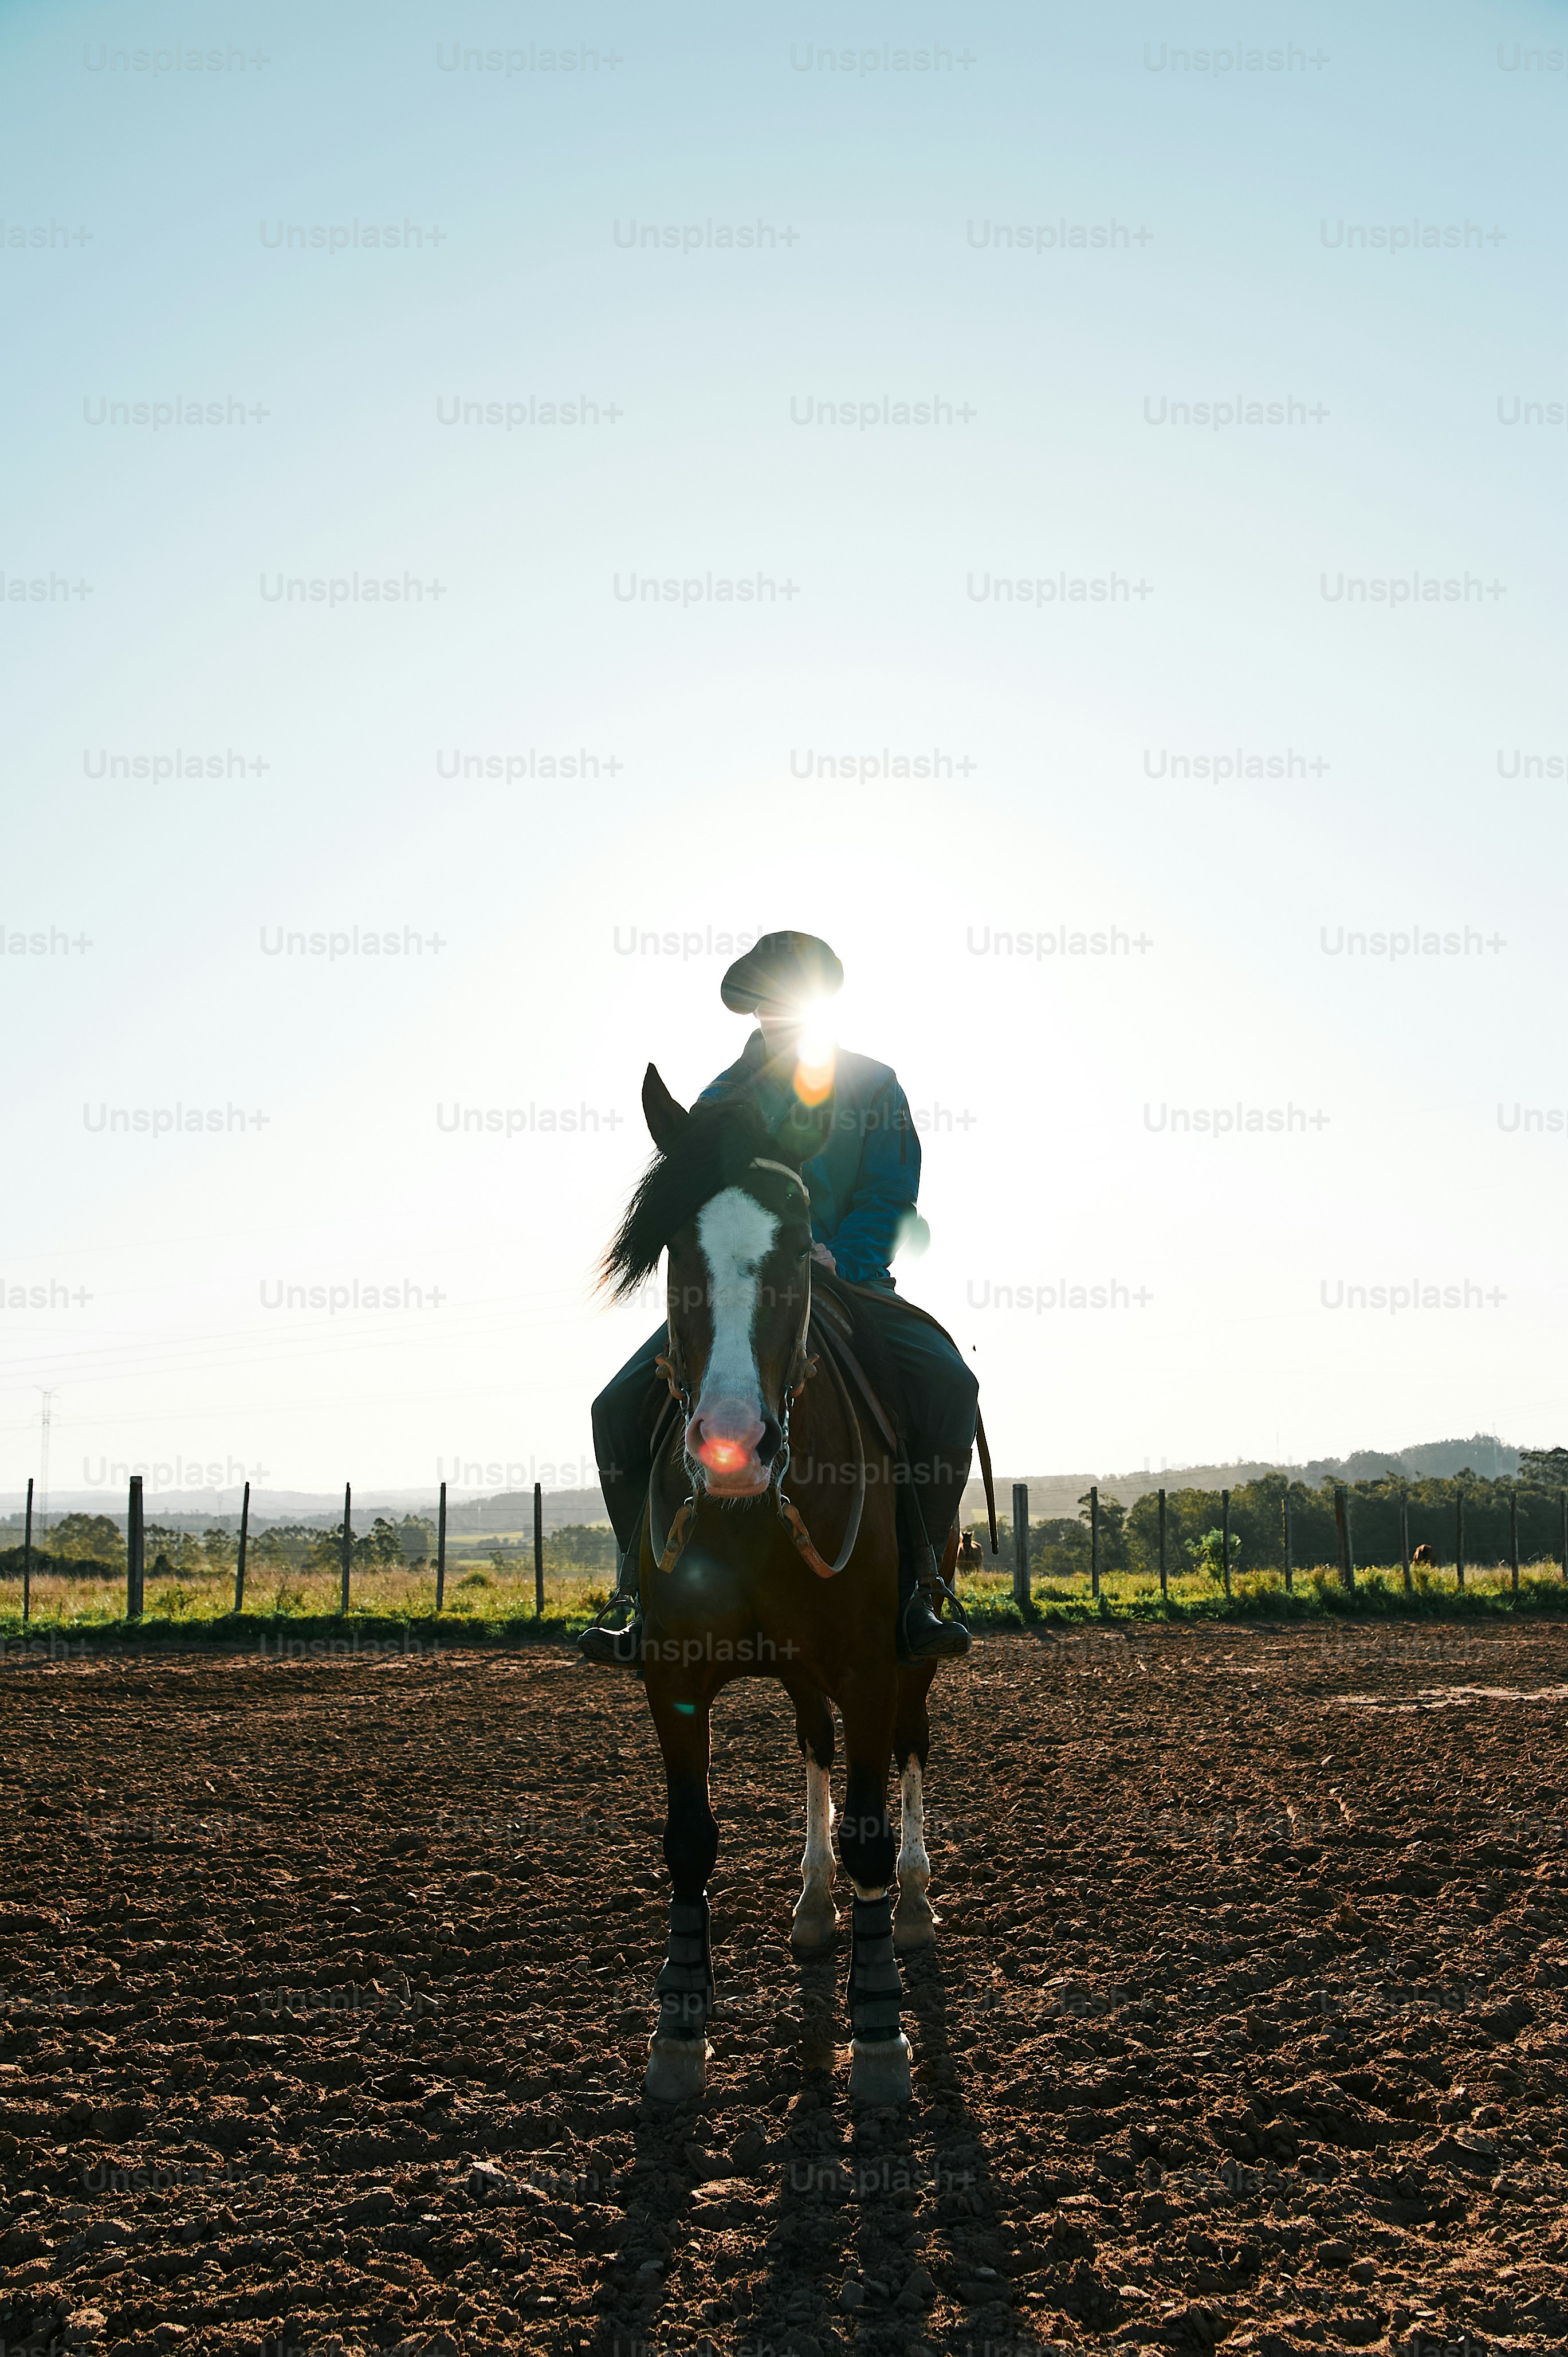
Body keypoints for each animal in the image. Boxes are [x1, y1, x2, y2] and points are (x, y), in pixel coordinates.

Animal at [599, 1065, 971, 2106]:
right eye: (673, 1252)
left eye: (800, 1251)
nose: (733, 1442)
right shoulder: (674, 1677)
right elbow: (690, 1839)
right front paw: (679, 2032)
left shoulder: (873, 1668)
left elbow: (872, 1832)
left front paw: (879, 2033)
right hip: (807, 1672)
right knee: (813, 1749)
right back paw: (810, 1908)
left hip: (911, 1657)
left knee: (912, 1753)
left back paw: (914, 1903)